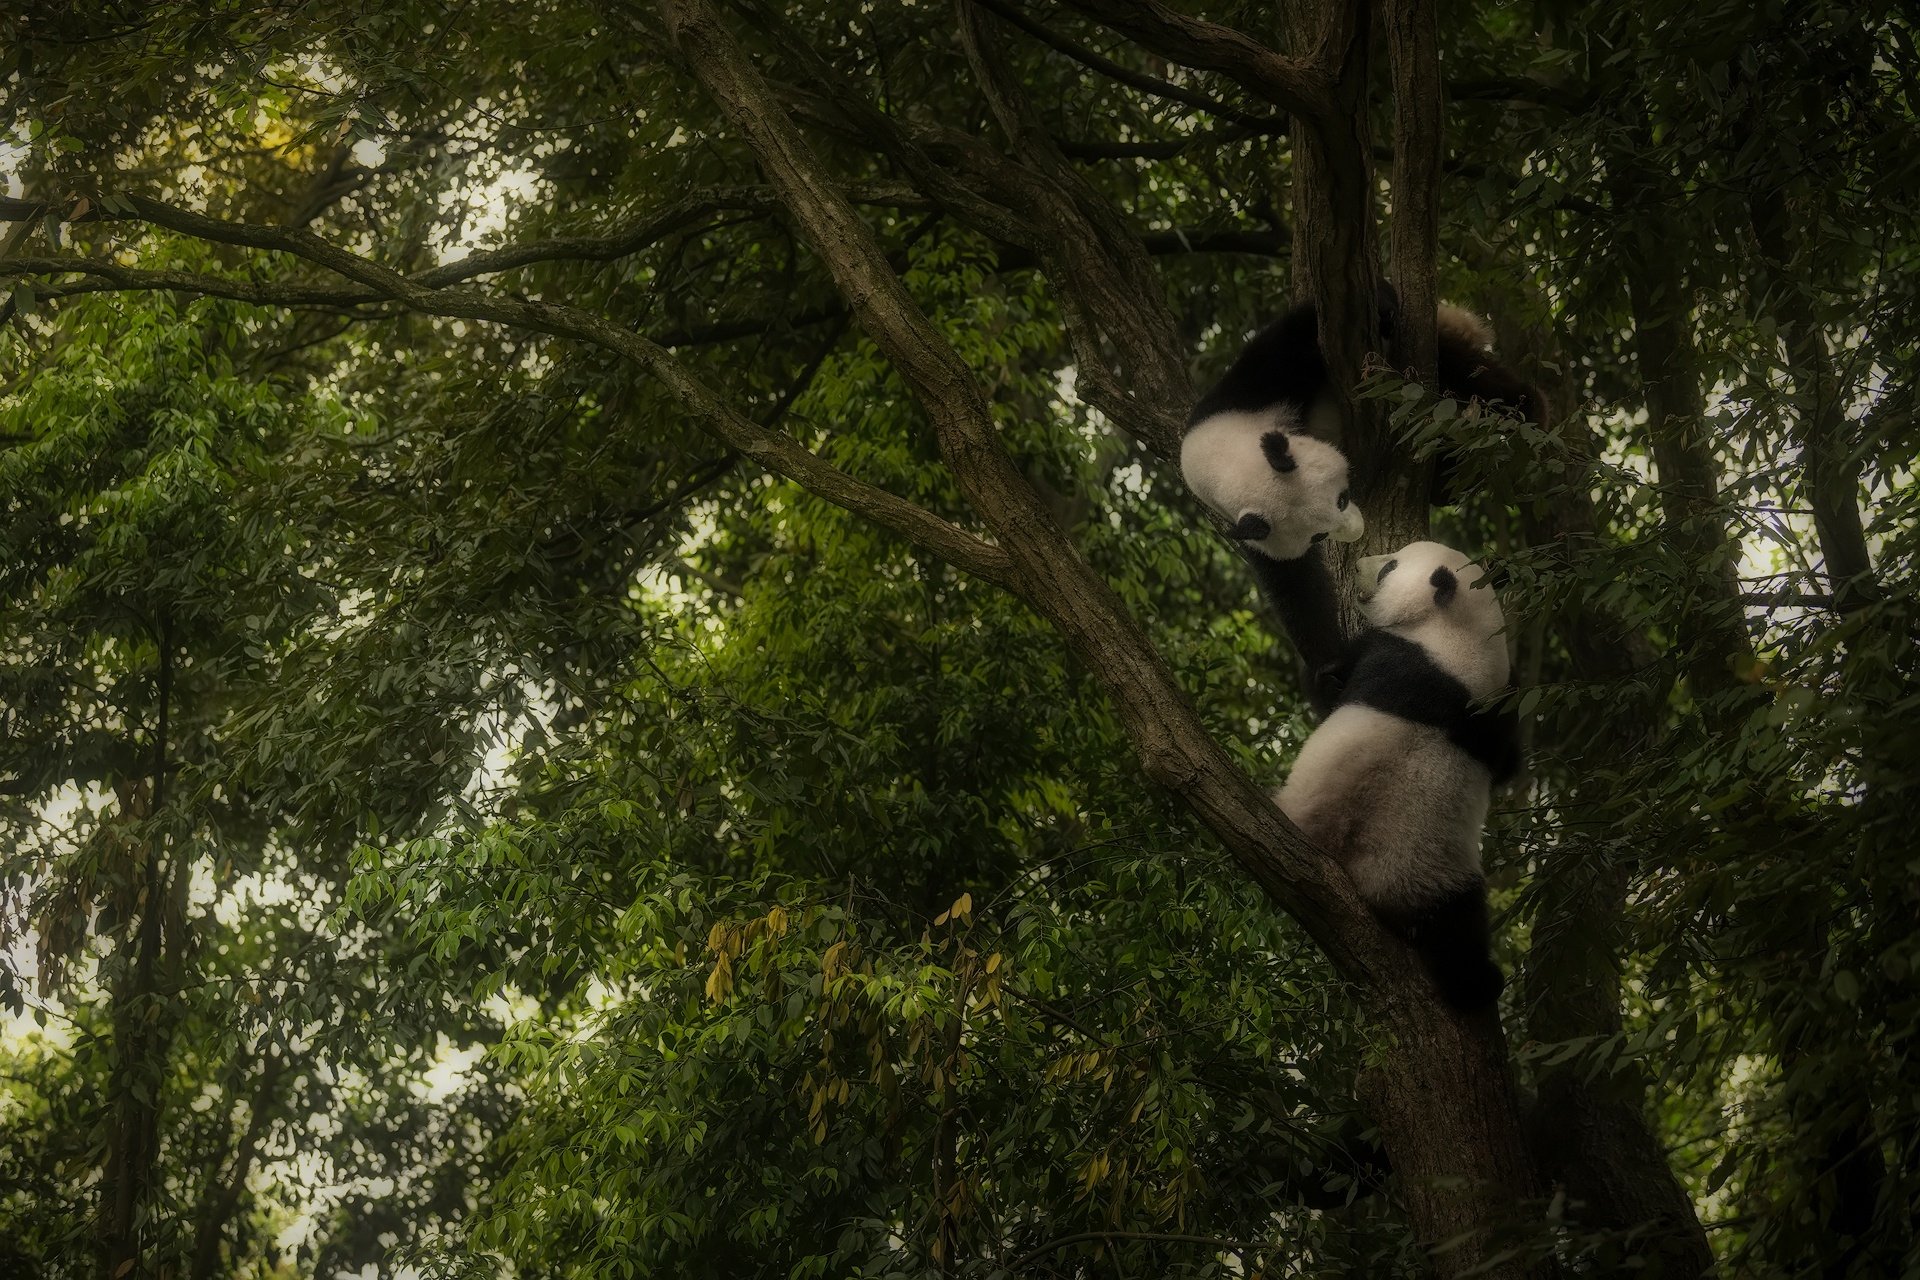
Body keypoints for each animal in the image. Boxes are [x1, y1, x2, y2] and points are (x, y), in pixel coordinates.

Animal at [1273, 540, 1521, 1011]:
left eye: (1389, 567)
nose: (1357, 565)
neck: (1460, 635)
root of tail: (1367, 882)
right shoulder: (1492, 714)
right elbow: (1508, 764)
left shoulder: (1388, 652)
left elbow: (1330, 694)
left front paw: (1323, 675)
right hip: (1441, 877)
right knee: (1458, 927)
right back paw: (1477, 984)